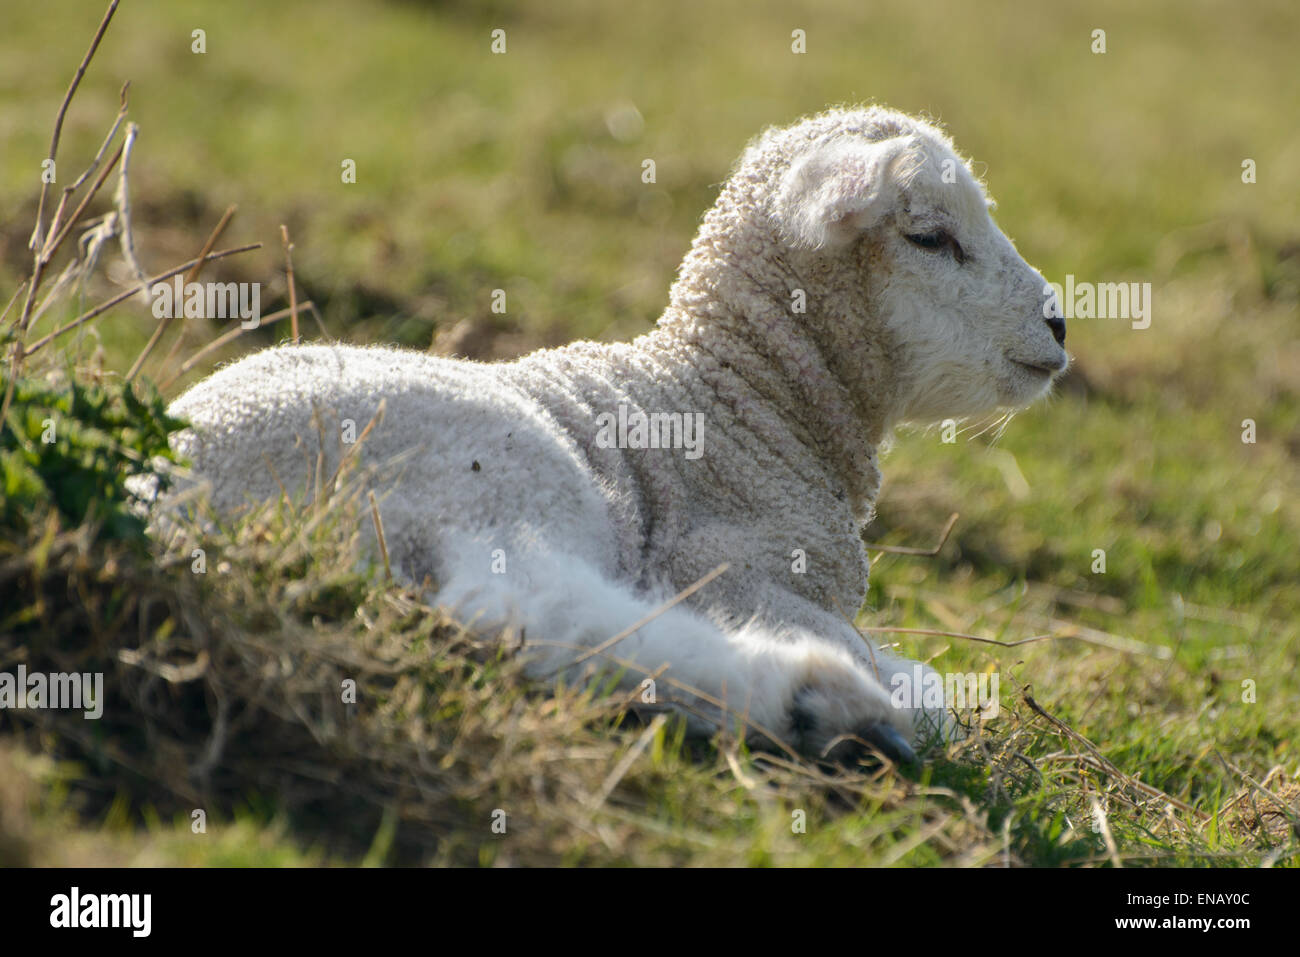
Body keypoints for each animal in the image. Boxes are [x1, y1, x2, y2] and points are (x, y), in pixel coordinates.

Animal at [159, 105, 1068, 764]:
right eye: (930, 236)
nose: (1060, 320)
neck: (747, 401)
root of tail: (169, 497)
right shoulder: (722, 565)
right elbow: (934, 689)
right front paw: (901, 689)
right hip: (486, 473)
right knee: (530, 611)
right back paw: (820, 704)